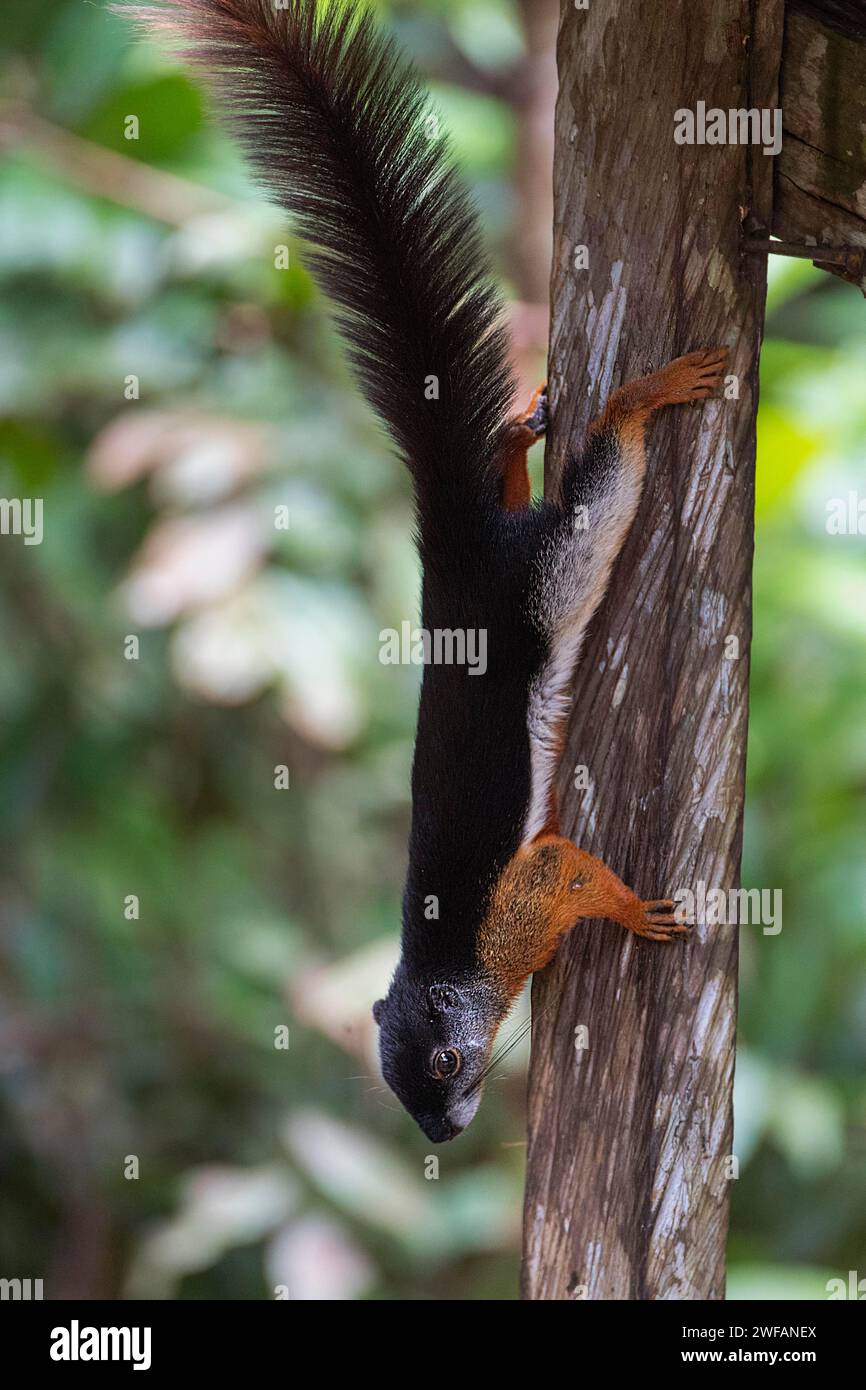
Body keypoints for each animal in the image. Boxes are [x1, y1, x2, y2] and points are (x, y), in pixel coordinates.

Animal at [123, 0, 728, 1142]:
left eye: (447, 1059)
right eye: (398, 1088)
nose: (444, 1134)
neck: (455, 968)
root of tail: (447, 551)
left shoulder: (517, 907)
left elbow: (568, 866)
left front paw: (640, 911)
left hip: (540, 576)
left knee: (593, 496)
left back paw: (639, 397)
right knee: (519, 481)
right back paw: (516, 436)